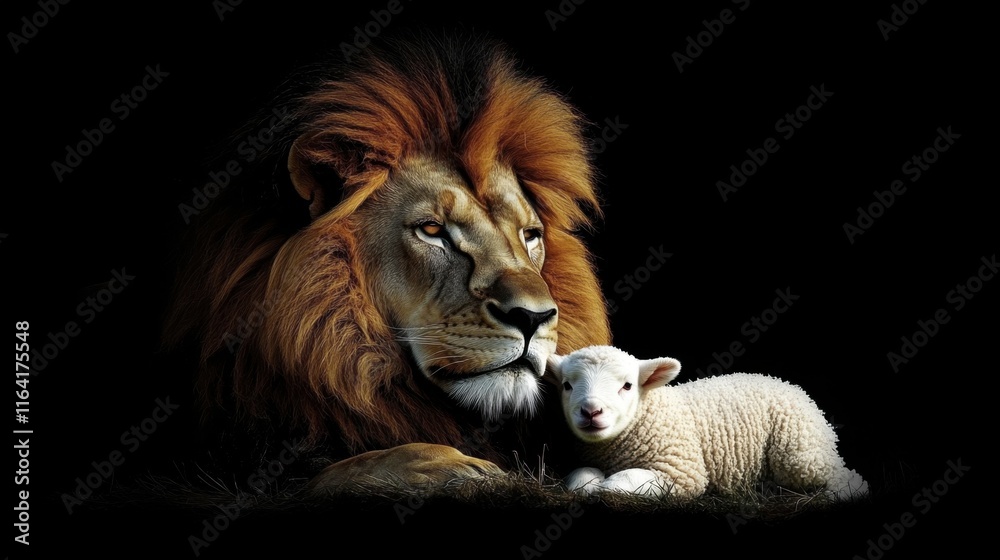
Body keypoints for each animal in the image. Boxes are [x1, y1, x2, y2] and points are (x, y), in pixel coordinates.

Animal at [547, 345, 868, 500]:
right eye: (566, 386)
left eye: (627, 386)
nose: (591, 411)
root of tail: (797, 389)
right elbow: (579, 478)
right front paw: (588, 483)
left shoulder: (682, 470)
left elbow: (627, 480)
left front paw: (607, 487)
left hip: (800, 454)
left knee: (840, 474)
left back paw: (845, 491)